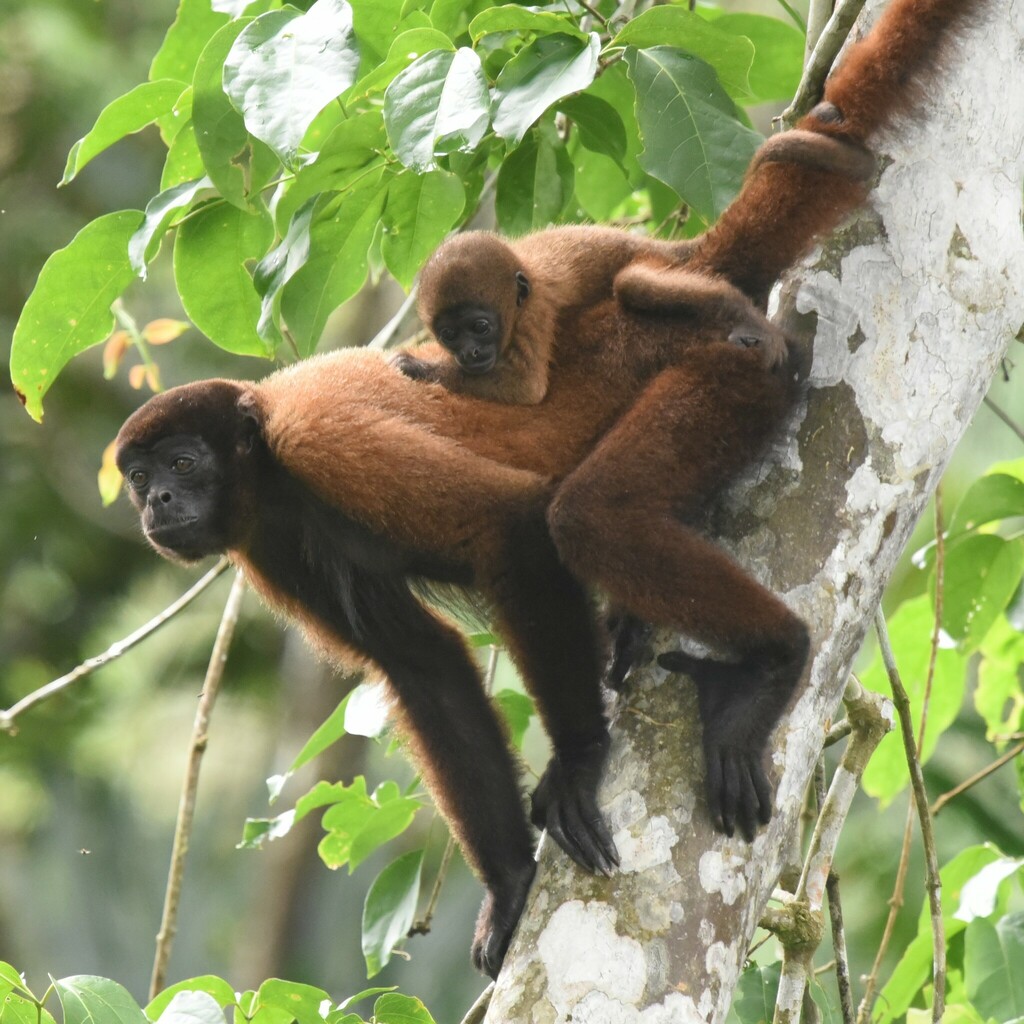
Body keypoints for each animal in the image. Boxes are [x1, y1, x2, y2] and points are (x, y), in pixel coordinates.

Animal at [114, 0, 983, 979]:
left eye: (185, 464)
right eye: (139, 476)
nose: (156, 505)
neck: (268, 468)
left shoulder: (320, 437)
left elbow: (515, 528)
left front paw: (576, 761)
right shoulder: (265, 542)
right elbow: (423, 665)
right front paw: (507, 885)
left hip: (731, 369)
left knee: (588, 517)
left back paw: (774, 659)